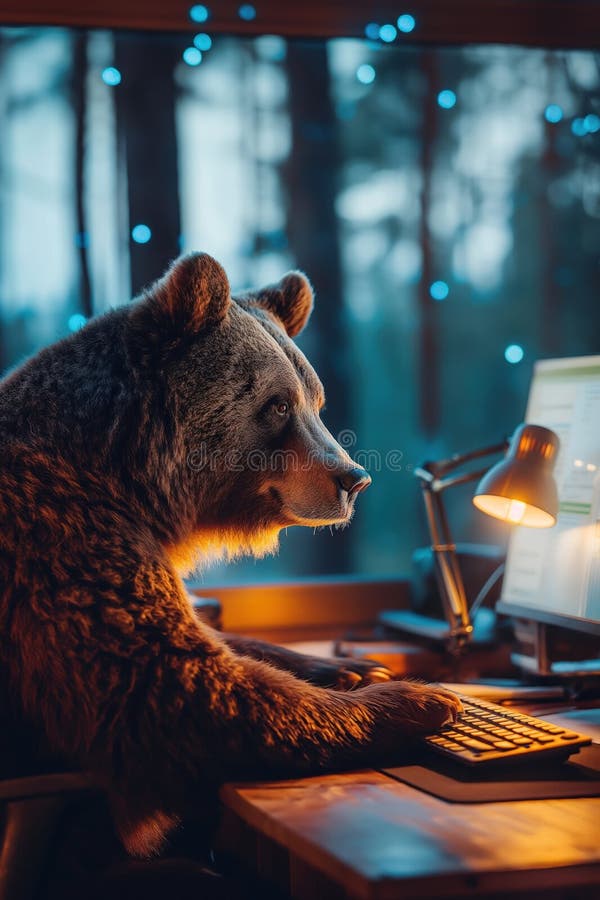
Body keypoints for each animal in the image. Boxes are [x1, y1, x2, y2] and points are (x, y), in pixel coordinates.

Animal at [0, 252, 461, 859]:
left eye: (316, 401)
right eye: (277, 404)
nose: (353, 479)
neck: (129, 477)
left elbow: (223, 639)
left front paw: (356, 666)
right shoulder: (59, 540)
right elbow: (176, 686)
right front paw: (420, 699)